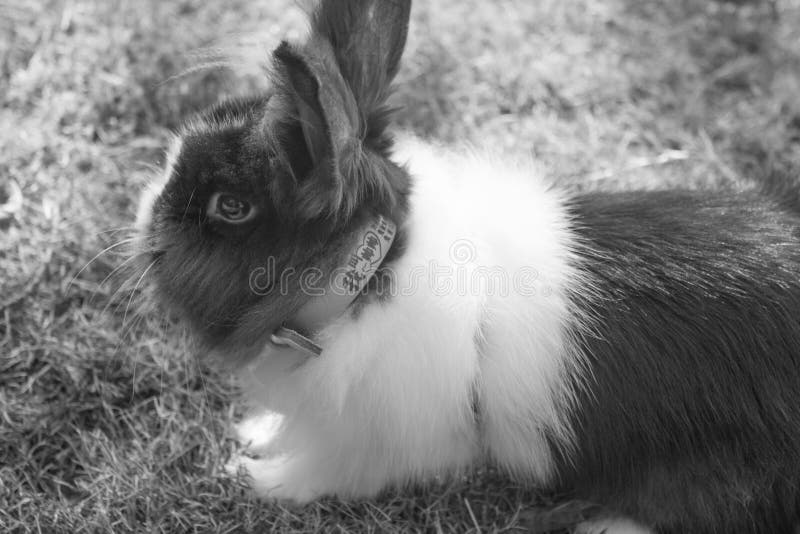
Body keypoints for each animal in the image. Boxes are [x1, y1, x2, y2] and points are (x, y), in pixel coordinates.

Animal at [132, 0, 800, 532]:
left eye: (231, 207)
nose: (144, 217)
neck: (363, 281)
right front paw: (256, 435)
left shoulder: (368, 444)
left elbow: (320, 471)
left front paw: (256, 478)